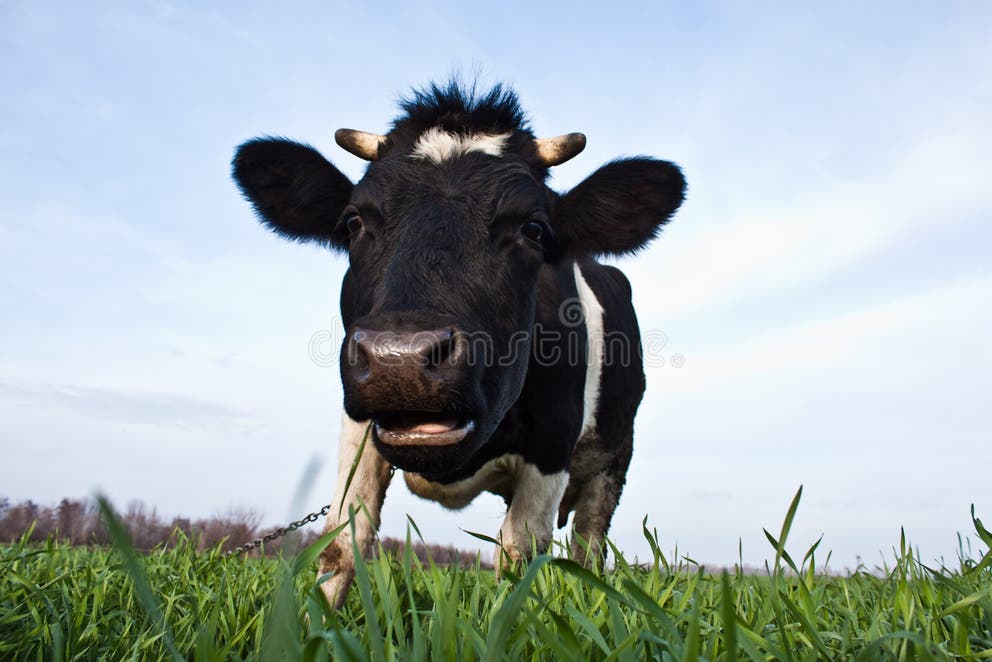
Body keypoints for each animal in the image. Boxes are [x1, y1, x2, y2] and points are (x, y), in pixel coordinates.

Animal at [232, 81, 685, 607]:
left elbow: (519, 558)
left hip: (611, 460)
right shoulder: (358, 425)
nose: (400, 359)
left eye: (534, 228)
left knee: (588, 547)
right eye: (352, 222)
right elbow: (342, 543)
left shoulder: (554, 438)